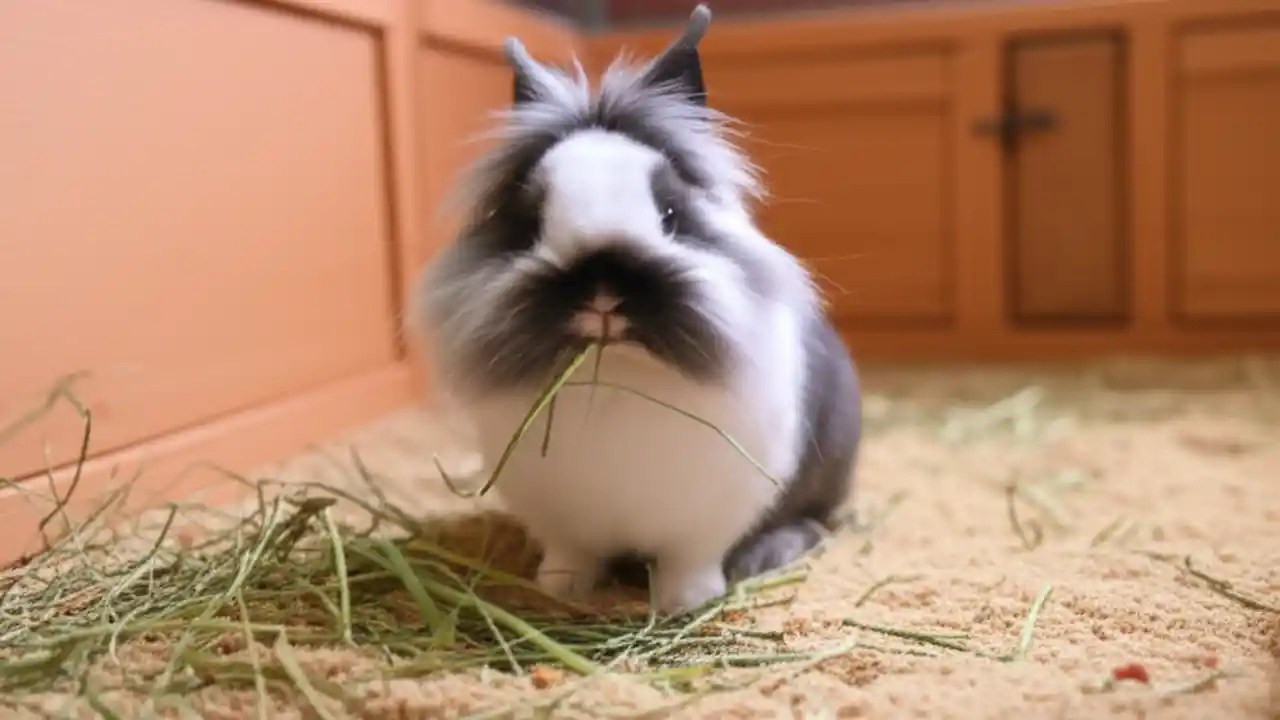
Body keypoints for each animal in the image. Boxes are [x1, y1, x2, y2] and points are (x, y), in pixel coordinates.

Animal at [410, 4, 861, 615]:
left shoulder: (706, 524)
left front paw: (684, 603)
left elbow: (689, 564)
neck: (617, 375)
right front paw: (557, 589)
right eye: (528, 225)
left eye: (671, 213)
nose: (602, 292)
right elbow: (571, 557)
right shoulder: (560, 523)